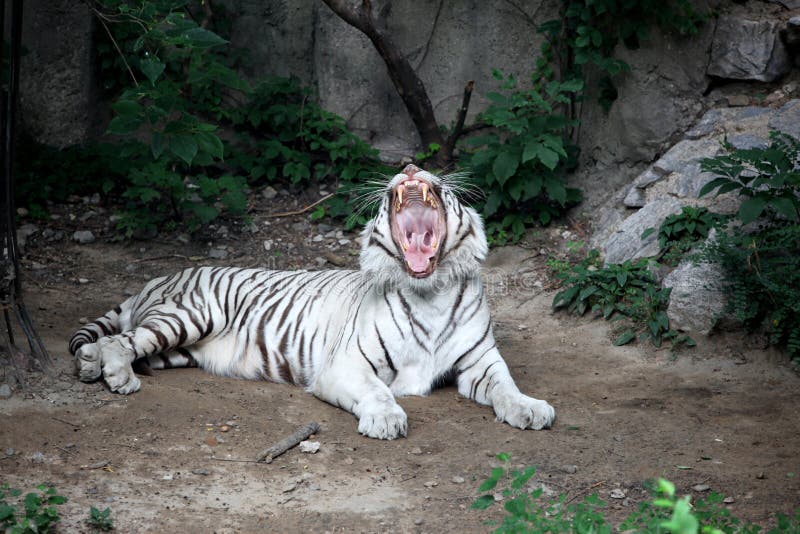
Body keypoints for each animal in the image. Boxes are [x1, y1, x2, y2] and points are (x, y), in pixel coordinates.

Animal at [70, 164, 555, 439]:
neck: (429, 291)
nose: (411, 166)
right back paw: (115, 375)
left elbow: (506, 386)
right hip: (187, 316)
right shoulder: (345, 364)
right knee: (119, 341)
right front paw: (386, 420)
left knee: (124, 345)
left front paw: (530, 408)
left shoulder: (481, 361)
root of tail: (160, 275)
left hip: (179, 349)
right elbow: (378, 390)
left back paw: (93, 366)